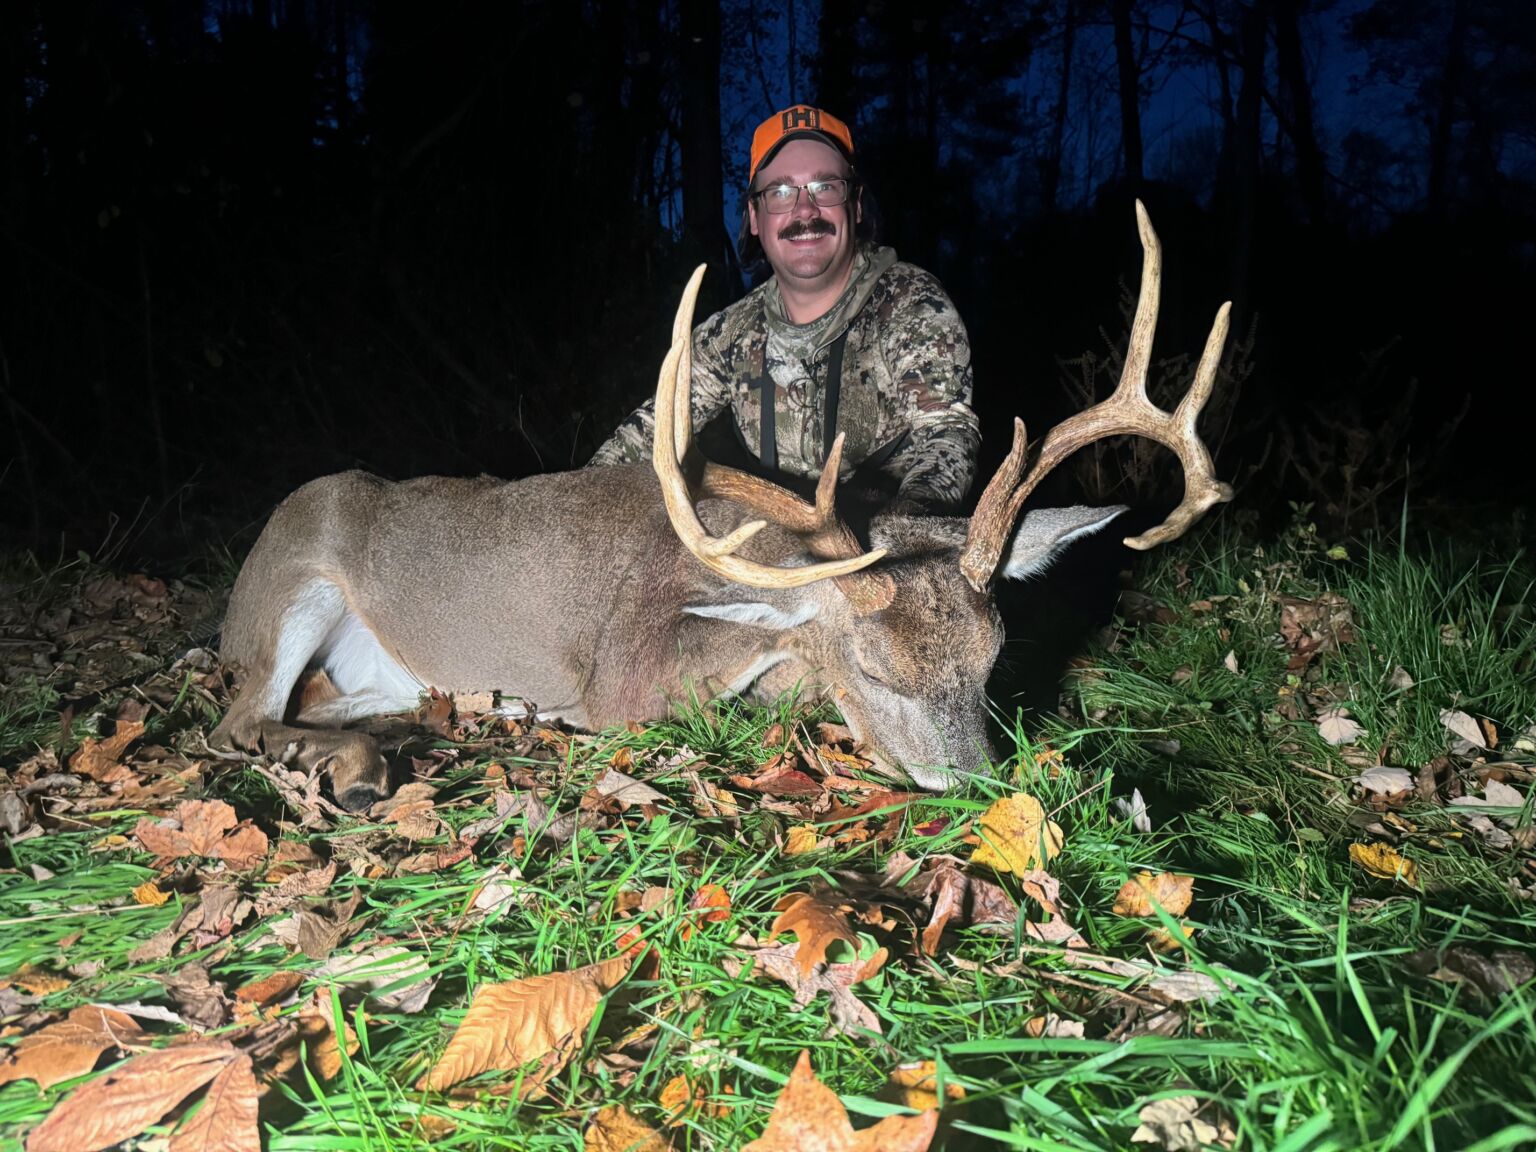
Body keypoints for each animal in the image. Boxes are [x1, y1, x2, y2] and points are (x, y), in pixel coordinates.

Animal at [211, 203, 1233, 811]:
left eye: (993, 659)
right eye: (874, 668)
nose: (979, 791)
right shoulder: (625, 674)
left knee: (329, 700)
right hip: (291, 583)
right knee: (238, 721)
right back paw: (356, 768)